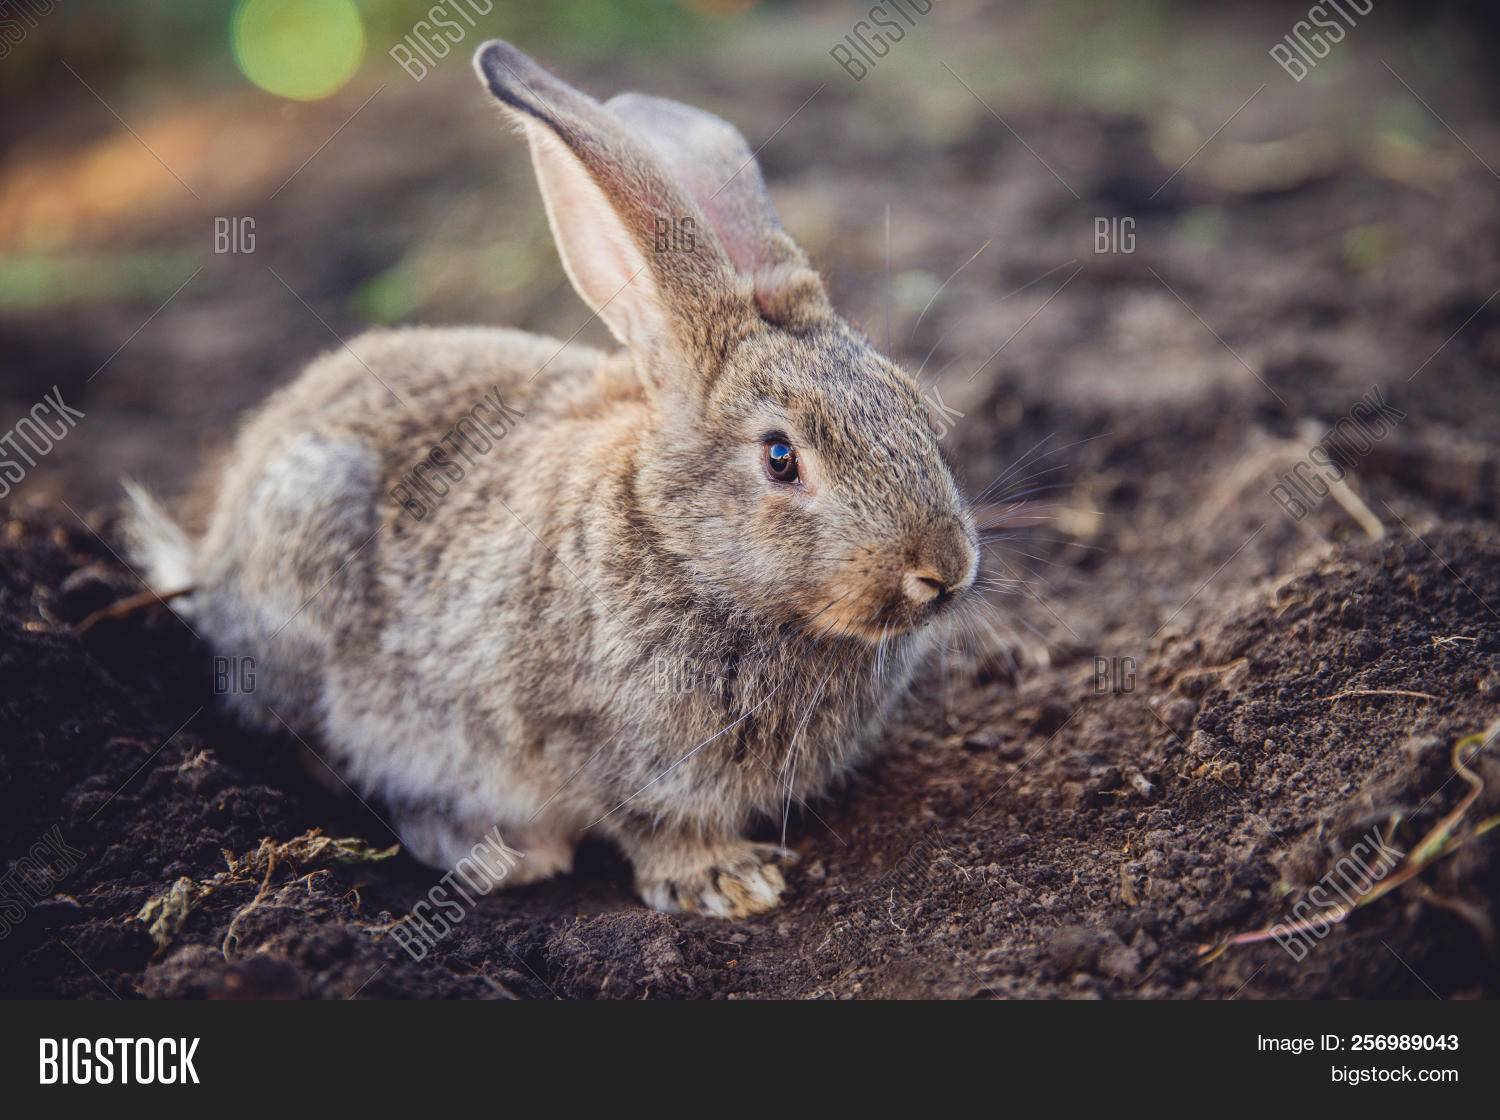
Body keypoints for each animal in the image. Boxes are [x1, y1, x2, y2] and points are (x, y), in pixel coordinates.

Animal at [123, 40, 978, 918]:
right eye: (781, 459)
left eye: (913, 403)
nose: (944, 570)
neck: (678, 543)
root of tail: (212, 563)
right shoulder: (579, 736)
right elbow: (649, 820)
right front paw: (725, 882)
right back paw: (493, 853)